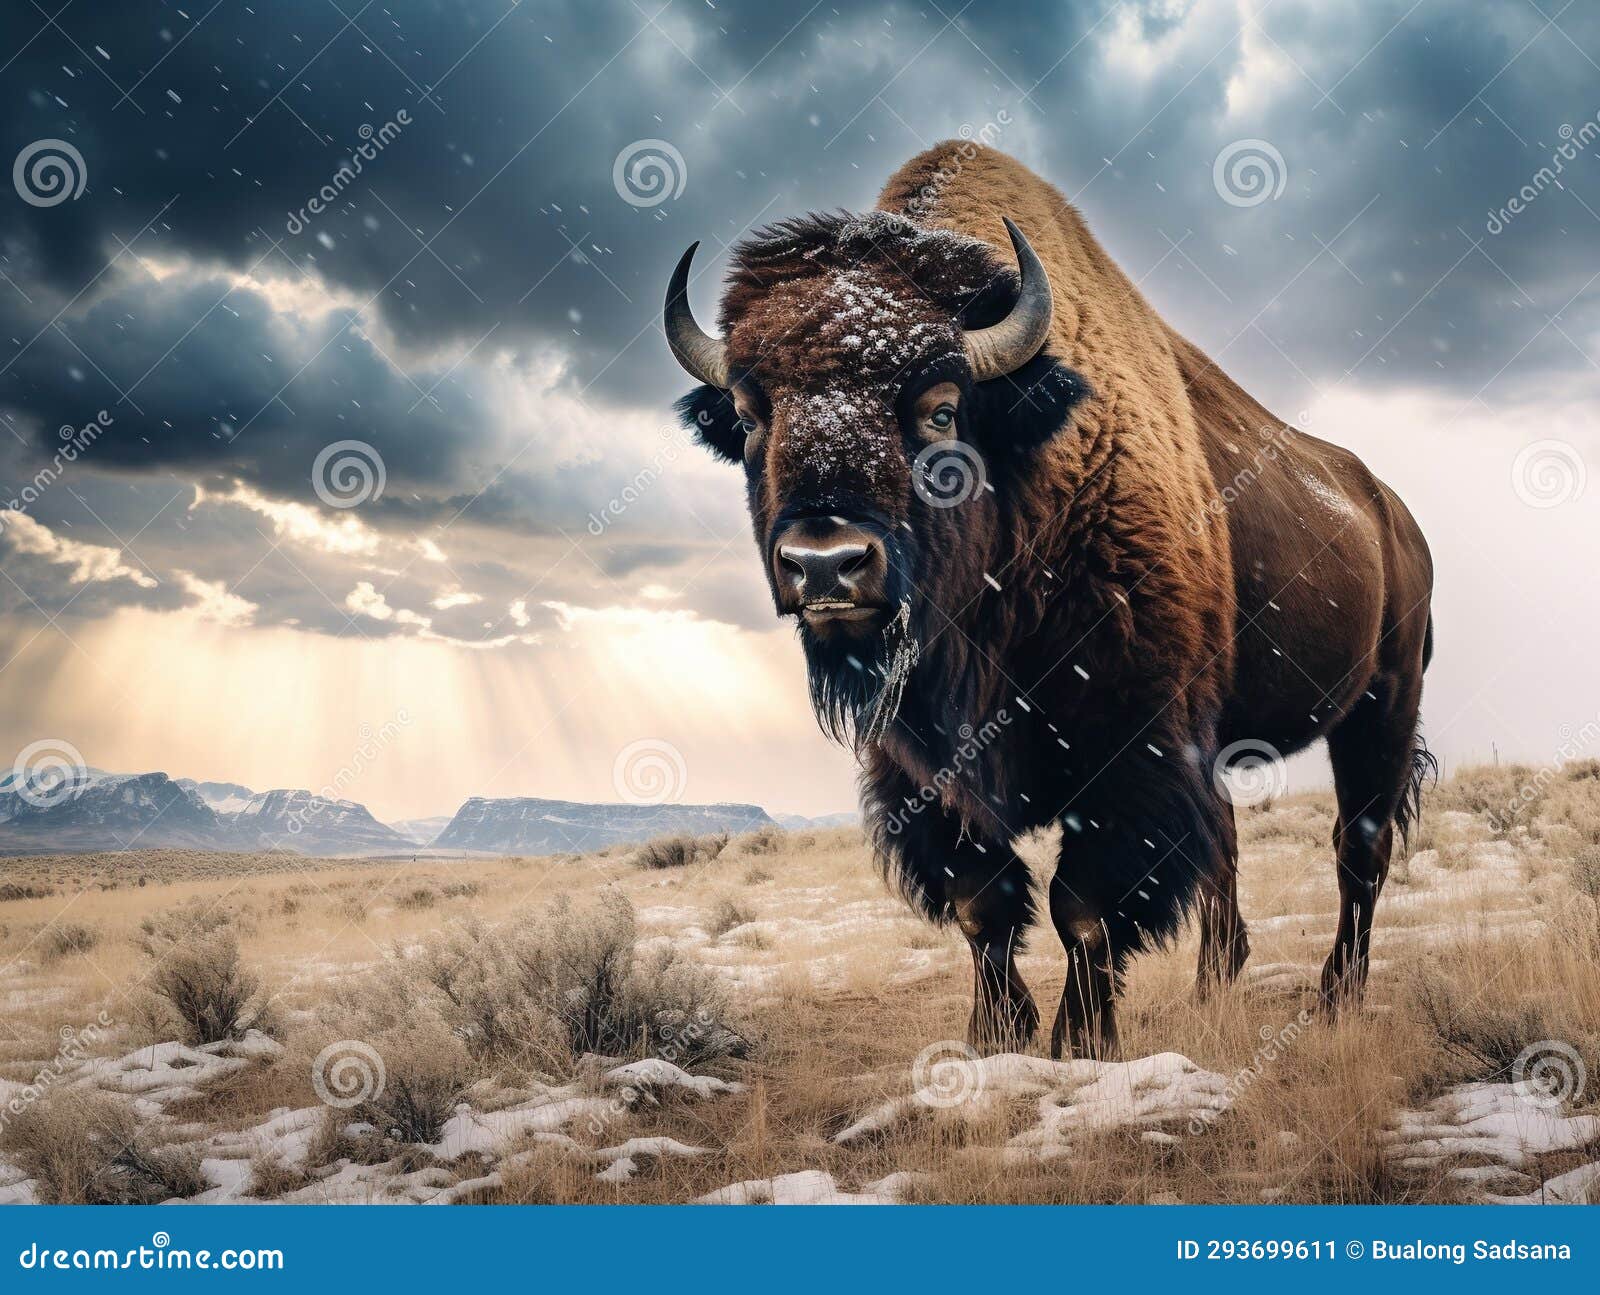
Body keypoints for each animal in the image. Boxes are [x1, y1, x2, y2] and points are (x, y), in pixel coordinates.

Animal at [664, 143, 1434, 1058]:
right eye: (751, 415)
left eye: (941, 410)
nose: (826, 564)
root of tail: (1392, 514)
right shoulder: (923, 766)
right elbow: (981, 901)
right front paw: (995, 1032)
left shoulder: (1132, 743)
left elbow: (1085, 906)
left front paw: (1080, 1039)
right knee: (1231, 845)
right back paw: (1216, 982)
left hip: (1384, 703)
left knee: (1360, 848)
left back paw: (1336, 995)